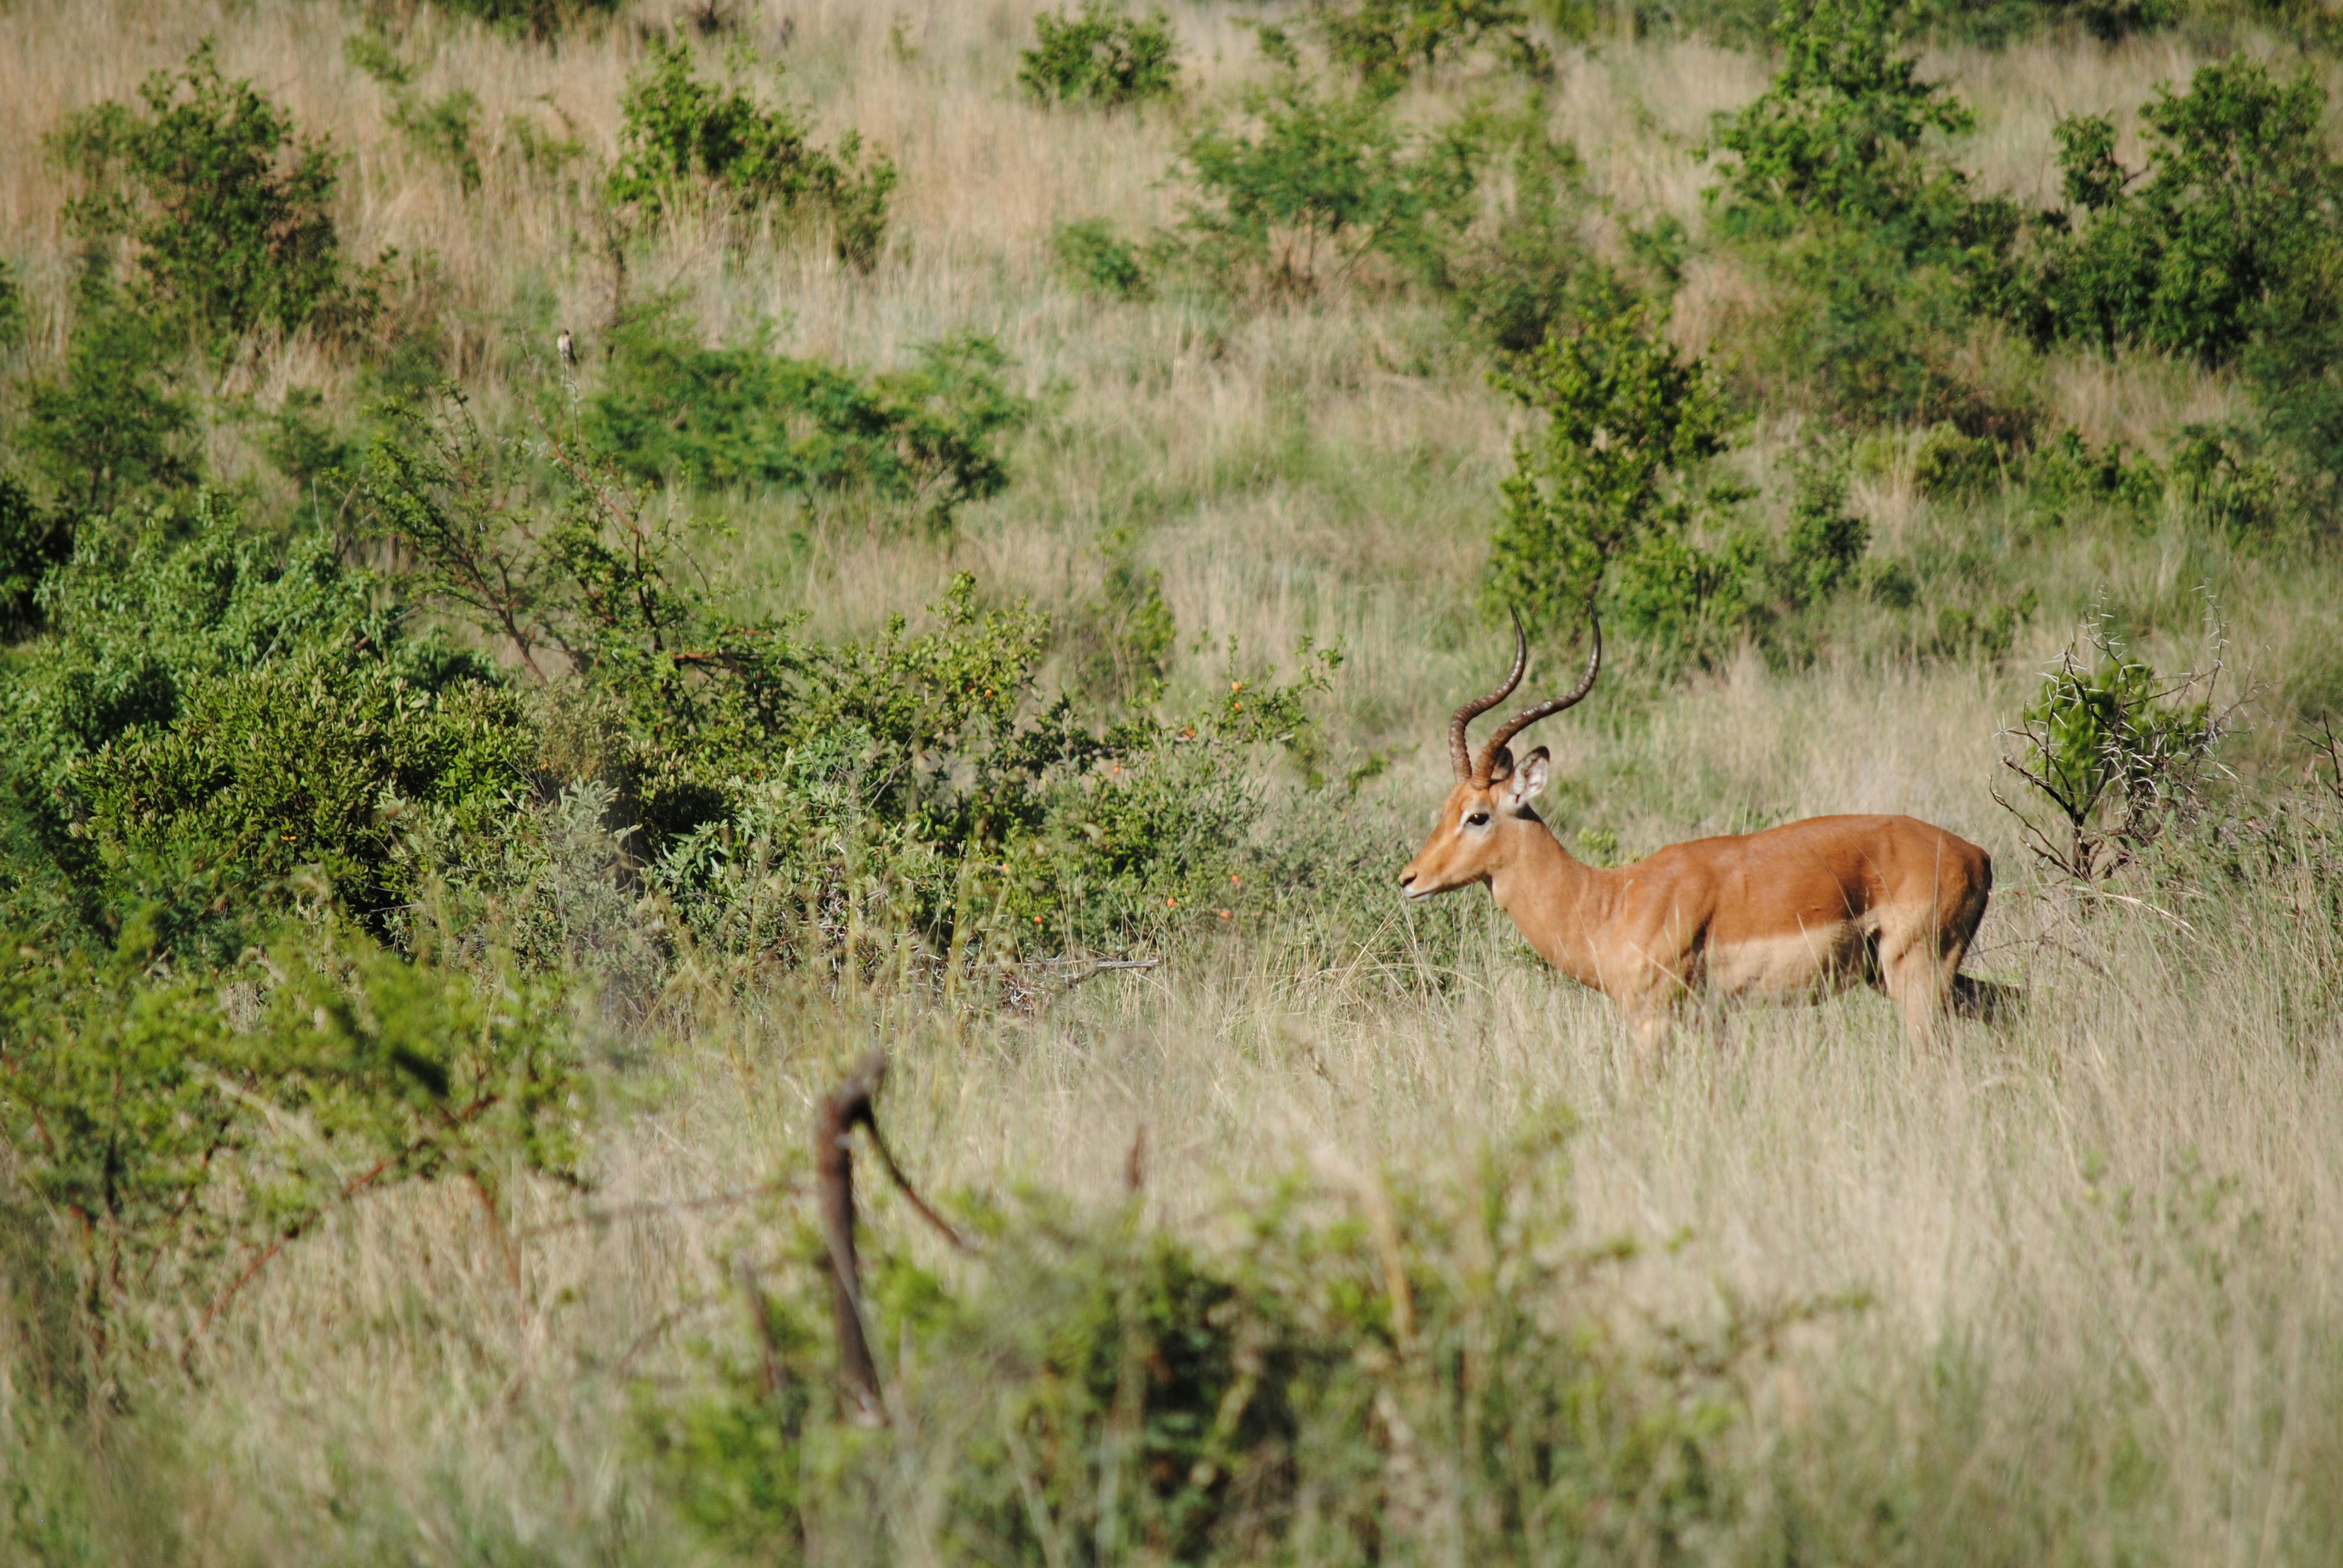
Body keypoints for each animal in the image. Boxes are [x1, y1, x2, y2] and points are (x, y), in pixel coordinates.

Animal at [1399, 610, 1994, 1053]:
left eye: (1478, 815)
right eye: (1447, 805)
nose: (1409, 878)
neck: (1607, 902)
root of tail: (1976, 855)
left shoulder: (1652, 1022)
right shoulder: (1712, 1020)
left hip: (1915, 976)